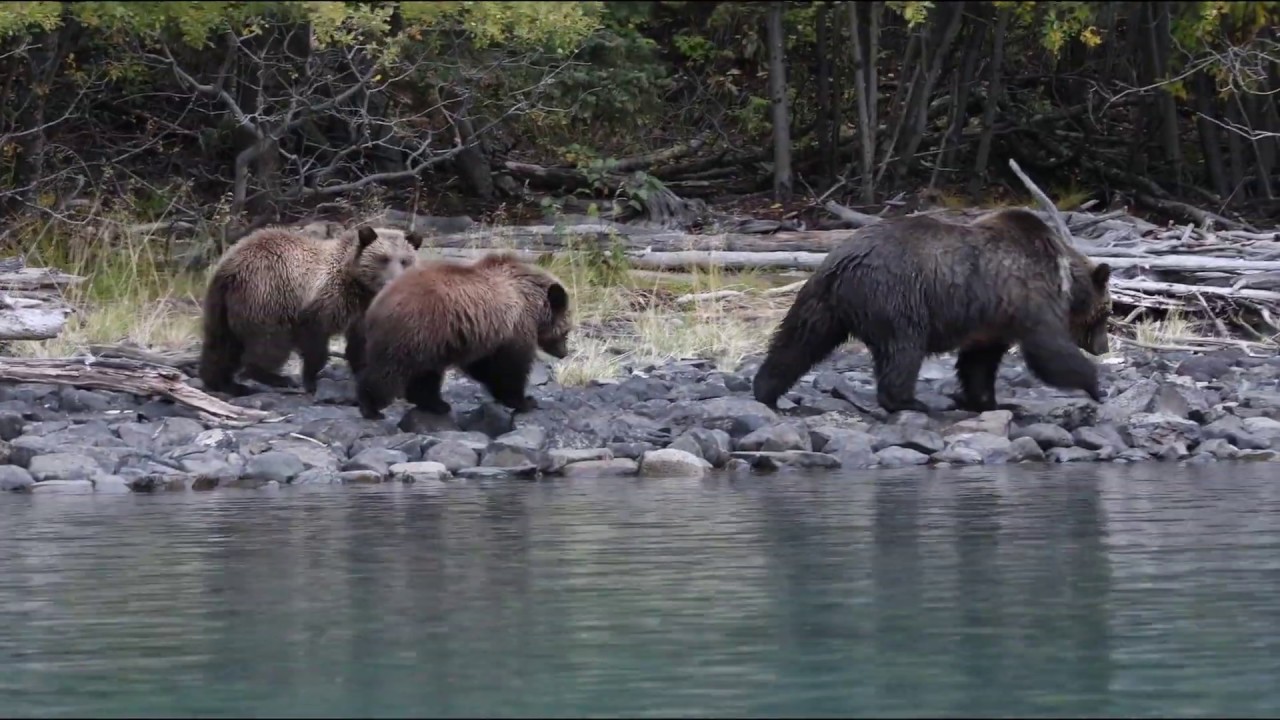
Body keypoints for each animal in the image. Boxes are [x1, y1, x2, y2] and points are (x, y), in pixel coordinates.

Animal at [198, 223, 423, 397]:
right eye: (383, 258)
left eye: (405, 260)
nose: (393, 281)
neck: (358, 285)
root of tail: (229, 266)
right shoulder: (321, 301)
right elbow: (315, 342)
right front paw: (310, 380)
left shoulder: (362, 309)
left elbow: (360, 344)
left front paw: (363, 372)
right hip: (265, 297)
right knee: (270, 343)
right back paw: (277, 378)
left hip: (220, 305)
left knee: (221, 344)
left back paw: (225, 384)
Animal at [351, 252, 574, 420]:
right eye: (567, 331)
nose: (564, 353)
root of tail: (375, 306)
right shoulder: (514, 327)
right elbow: (511, 367)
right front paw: (525, 401)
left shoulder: (486, 334)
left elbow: (483, 365)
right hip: (415, 330)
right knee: (389, 371)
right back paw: (370, 407)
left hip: (430, 341)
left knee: (425, 373)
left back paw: (436, 404)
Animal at [751, 208, 1113, 414]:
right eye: (1108, 313)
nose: (1104, 347)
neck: (1063, 277)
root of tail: (842, 261)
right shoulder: (1027, 297)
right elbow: (1048, 350)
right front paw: (1096, 386)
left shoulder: (991, 320)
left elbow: (978, 363)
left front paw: (984, 400)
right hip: (897, 294)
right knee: (903, 348)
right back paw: (909, 401)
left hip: (822, 302)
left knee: (798, 341)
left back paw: (765, 390)